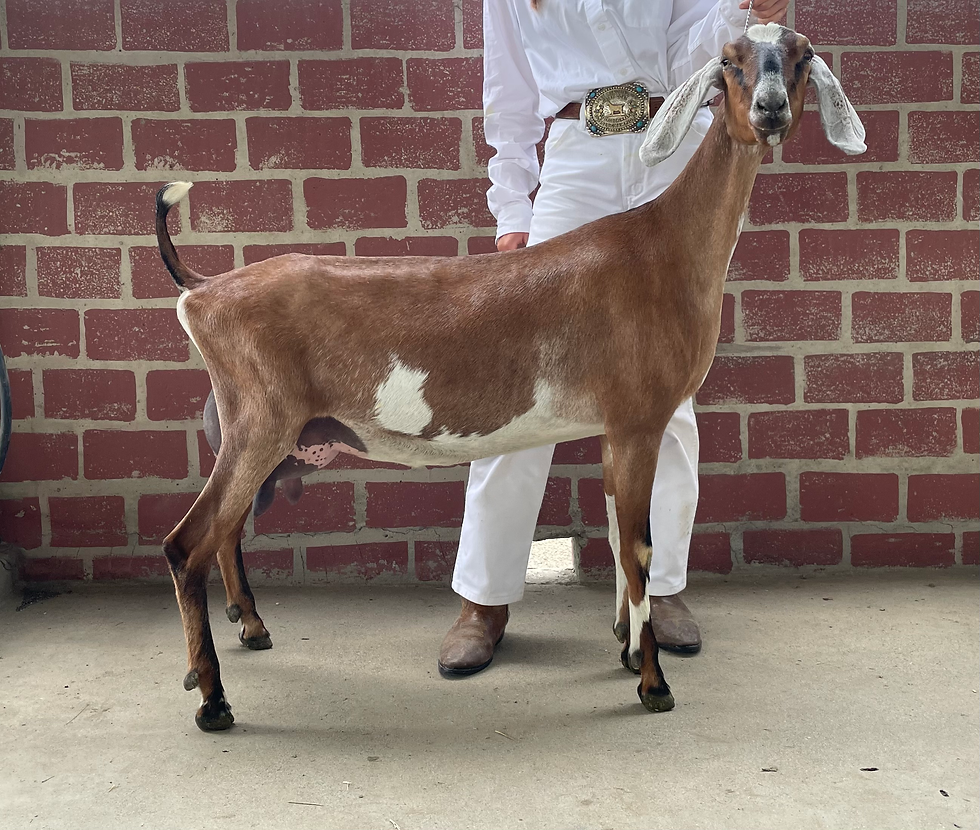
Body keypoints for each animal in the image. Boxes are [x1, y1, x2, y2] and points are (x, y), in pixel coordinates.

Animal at [158, 23, 865, 731]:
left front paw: (625, 647)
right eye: (730, 63)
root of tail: (203, 290)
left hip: (261, 434)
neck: (661, 247)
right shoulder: (639, 419)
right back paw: (213, 700)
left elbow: (617, 536)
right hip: (260, 422)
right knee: (186, 544)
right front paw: (652, 684)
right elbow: (638, 549)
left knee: (225, 532)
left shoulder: (614, 428)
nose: (770, 109)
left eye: (800, 59)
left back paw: (241, 638)